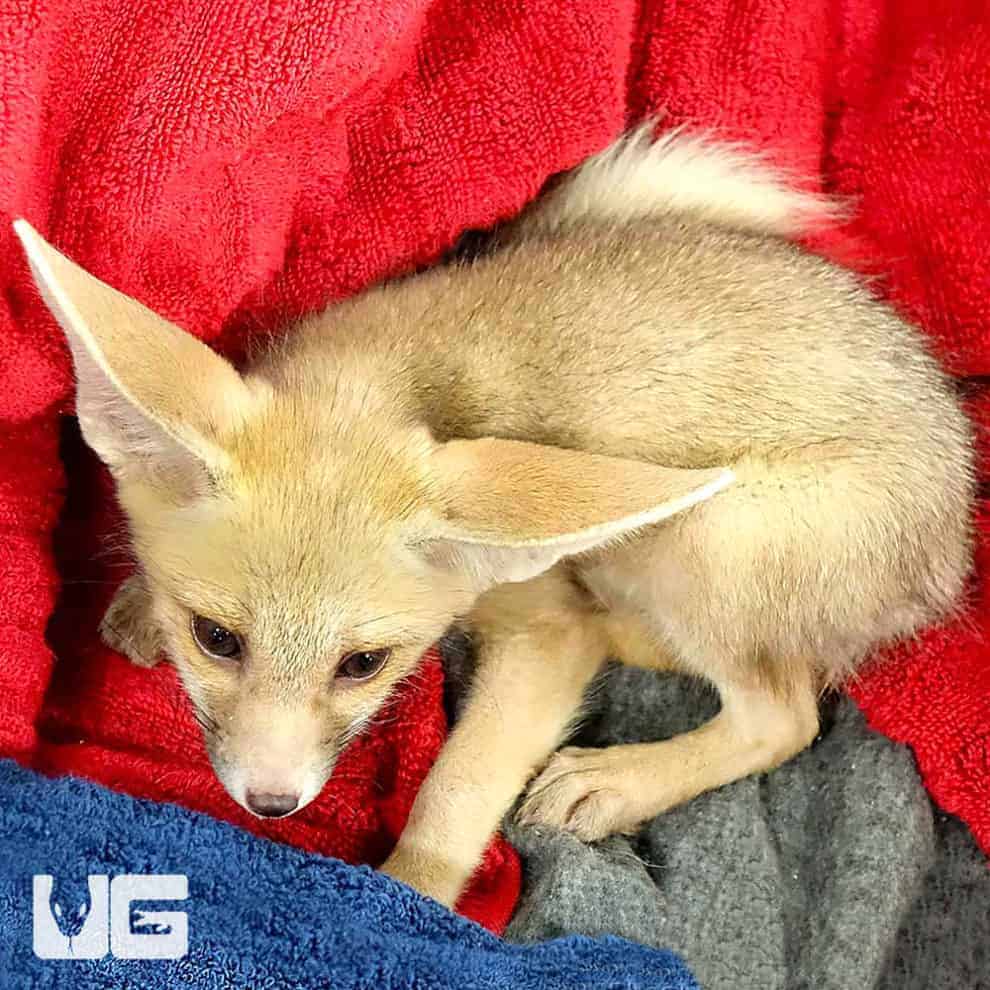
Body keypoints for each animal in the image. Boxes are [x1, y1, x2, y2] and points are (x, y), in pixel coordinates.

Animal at [15, 125, 974, 909]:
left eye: (364, 665)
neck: (378, 375)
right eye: (215, 639)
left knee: (786, 715)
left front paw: (405, 904)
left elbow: (457, 790)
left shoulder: (542, 625)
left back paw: (622, 778)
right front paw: (140, 602)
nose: (272, 802)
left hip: (700, 539)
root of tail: (958, 521)